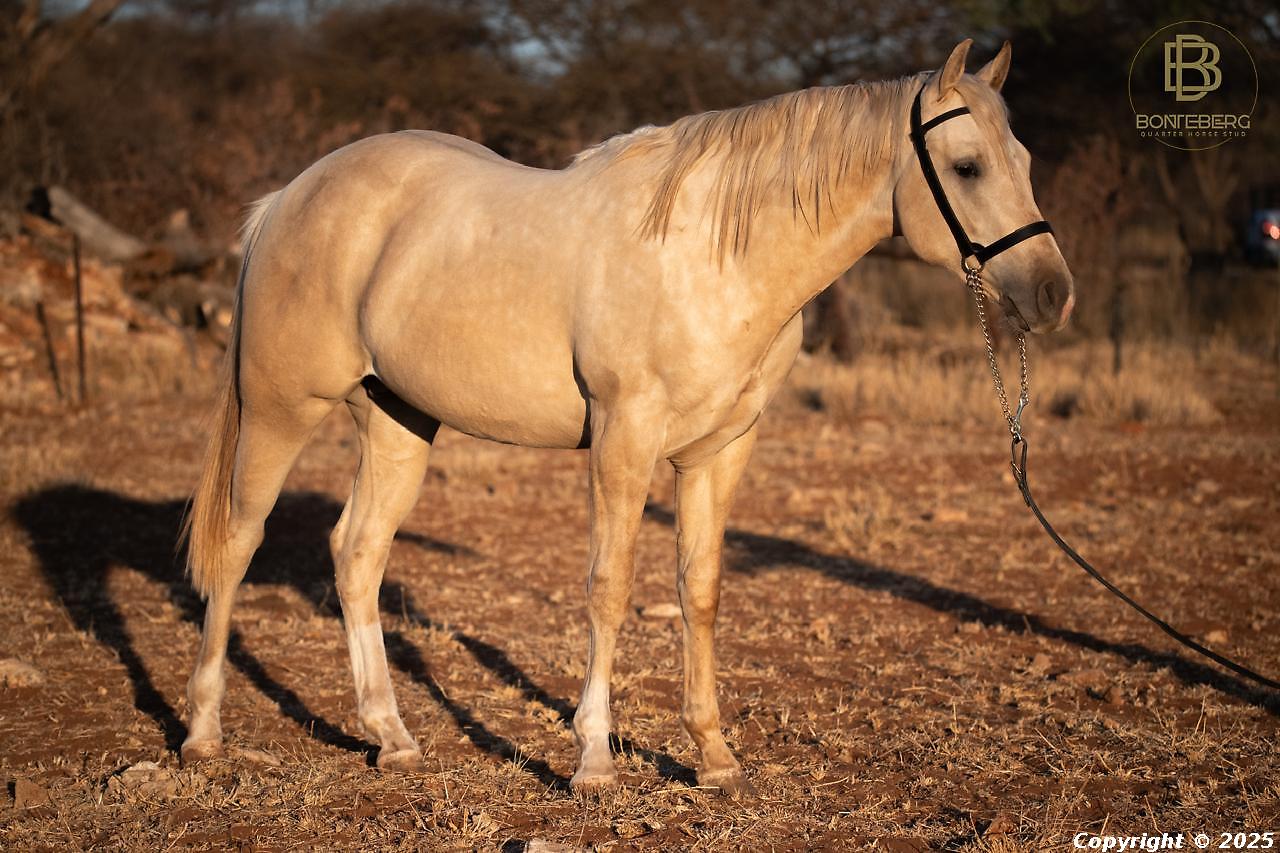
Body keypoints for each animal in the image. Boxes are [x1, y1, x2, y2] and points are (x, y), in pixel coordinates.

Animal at [179, 39, 1074, 796]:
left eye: (1025, 161)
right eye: (966, 166)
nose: (1052, 293)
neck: (713, 253)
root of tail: (286, 198)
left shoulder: (719, 450)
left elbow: (700, 590)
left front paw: (712, 756)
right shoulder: (624, 439)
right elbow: (608, 589)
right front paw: (594, 761)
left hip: (397, 420)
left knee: (357, 554)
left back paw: (391, 736)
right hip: (280, 410)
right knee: (237, 544)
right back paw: (202, 733)